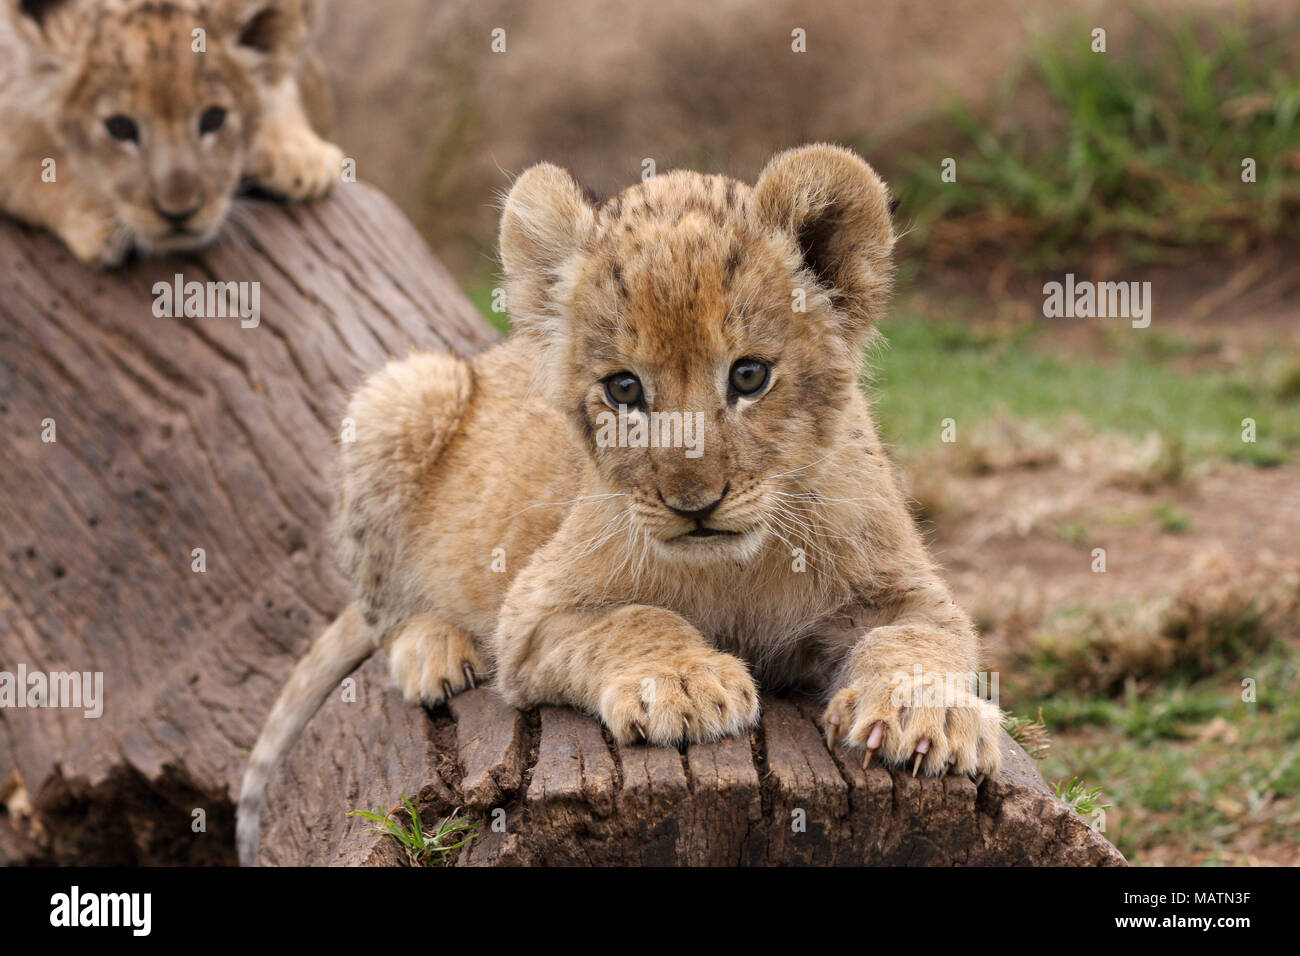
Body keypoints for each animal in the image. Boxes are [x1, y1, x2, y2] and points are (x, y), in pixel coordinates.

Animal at [0, 0, 342, 266]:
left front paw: (301, 156)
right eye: (120, 127)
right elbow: (28, 174)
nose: (179, 214)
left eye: (213, 118)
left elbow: (277, 79)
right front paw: (97, 221)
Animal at [236, 144, 1003, 865]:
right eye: (625, 388)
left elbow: (916, 640)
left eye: (749, 376)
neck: (739, 567)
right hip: (404, 392)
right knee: (383, 609)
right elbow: (634, 619)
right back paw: (435, 649)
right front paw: (684, 682)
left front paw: (926, 717)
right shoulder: (531, 615)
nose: (694, 503)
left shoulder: (910, 589)